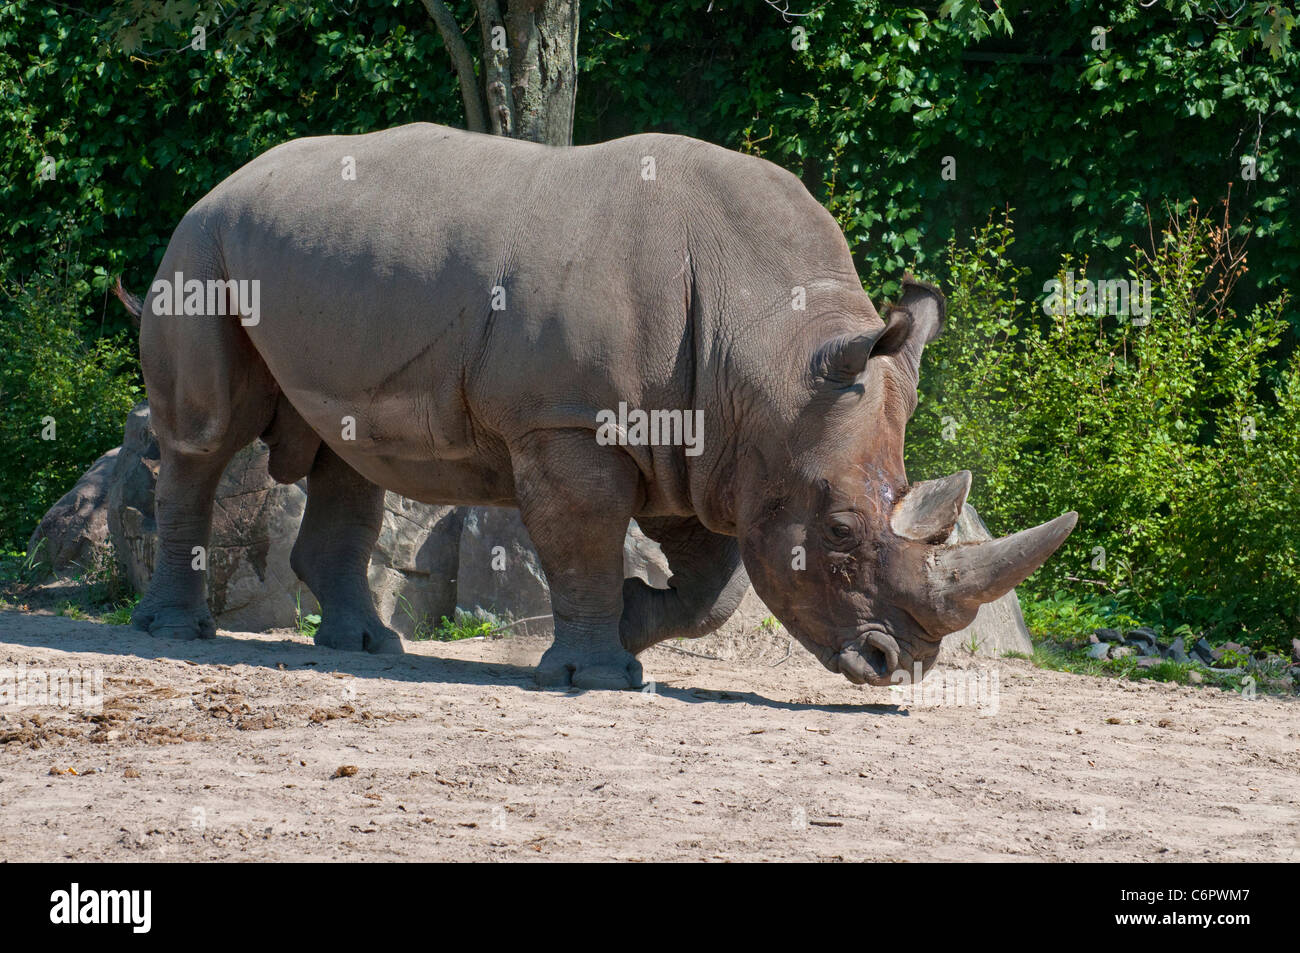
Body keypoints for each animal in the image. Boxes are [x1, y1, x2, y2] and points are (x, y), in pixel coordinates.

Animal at [118, 122, 1075, 690]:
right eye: (839, 531)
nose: (898, 664)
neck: (769, 352)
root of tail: (222, 180)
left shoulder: (700, 439)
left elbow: (715, 585)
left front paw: (630, 618)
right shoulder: (569, 419)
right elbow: (583, 536)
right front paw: (595, 673)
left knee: (346, 453)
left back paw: (364, 649)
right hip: (202, 249)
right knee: (204, 436)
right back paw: (179, 630)